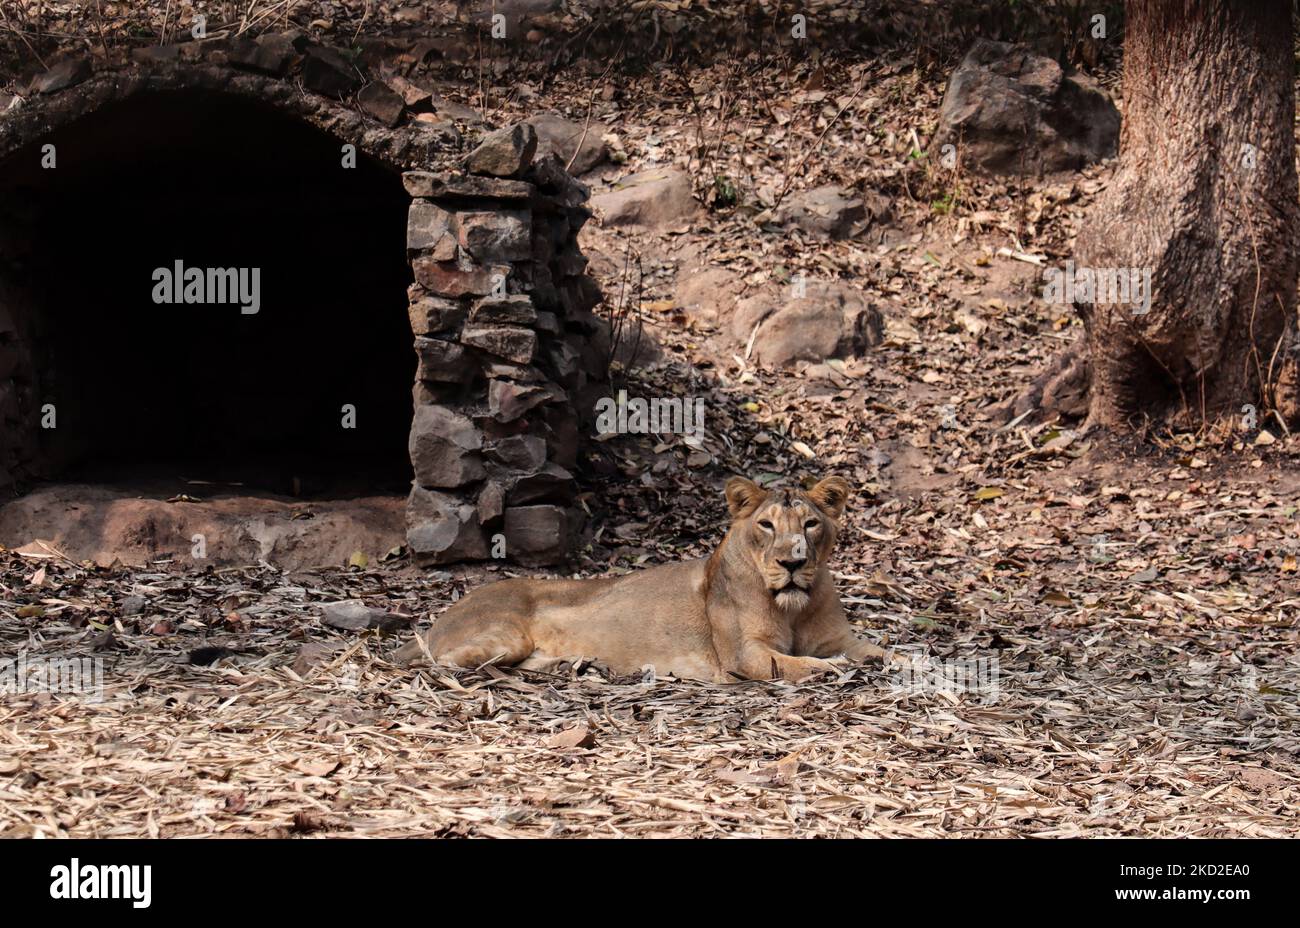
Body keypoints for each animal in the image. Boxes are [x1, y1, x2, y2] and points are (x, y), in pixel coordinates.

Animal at [392, 475, 889, 682]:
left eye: (811, 524)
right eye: (767, 525)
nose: (792, 562)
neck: (794, 607)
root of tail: (438, 619)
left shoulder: (837, 637)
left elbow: (883, 651)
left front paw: (893, 662)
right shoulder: (746, 656)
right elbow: (808, 665)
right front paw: (844, 670)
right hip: (502, 634)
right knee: (443, 661)